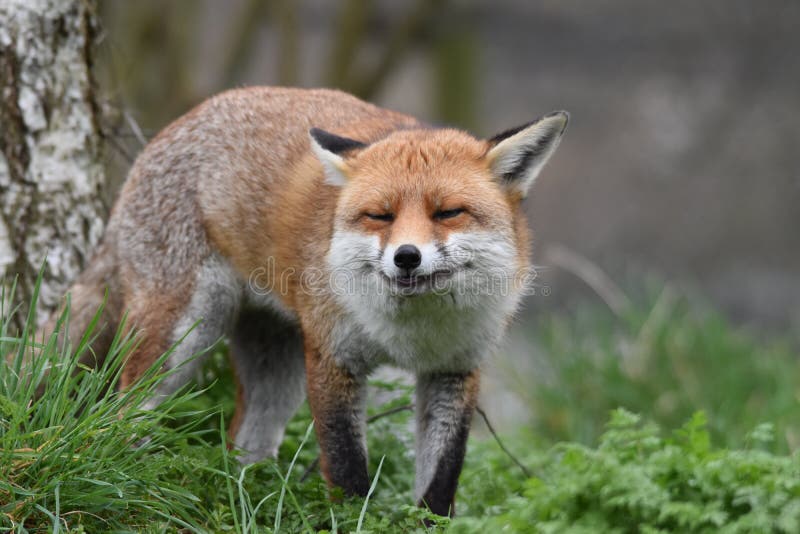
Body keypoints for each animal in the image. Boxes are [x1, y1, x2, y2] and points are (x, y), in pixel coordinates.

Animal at [41, 87, 568, 516]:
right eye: (380, 216)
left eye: (448, 212)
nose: (406, 257)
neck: (413, 334)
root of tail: (168, 132)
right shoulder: (335, 358)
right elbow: (347, 469)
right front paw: (354, 522)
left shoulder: (455, 370)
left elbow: (440, 482)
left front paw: (428, 525)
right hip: (182, 337)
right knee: (123, 413)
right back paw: (137, 486)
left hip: (278, 370)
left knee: (242, 446)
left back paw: (246, 499)